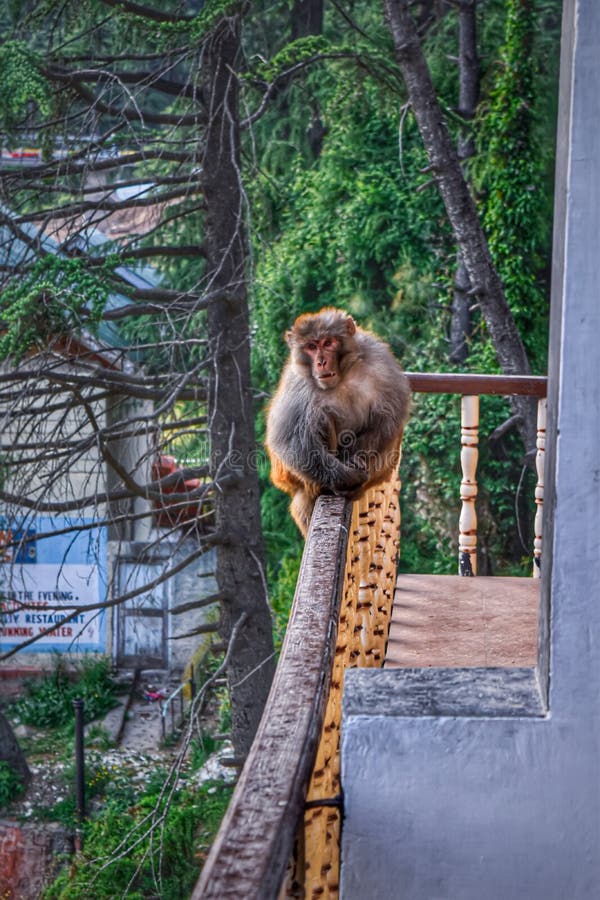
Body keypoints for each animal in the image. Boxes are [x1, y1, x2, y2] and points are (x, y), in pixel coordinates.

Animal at [266, 307, 411, 536]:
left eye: (328, 343)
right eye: (311, 347)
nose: (321, 362)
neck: (342, 375)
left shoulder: (379, 359)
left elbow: (387, 418)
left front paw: (356, 459)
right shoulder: (297, 382)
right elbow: (289, 439)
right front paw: (348, 476)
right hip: (296, 479)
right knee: (316, 415)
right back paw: (332, 486)